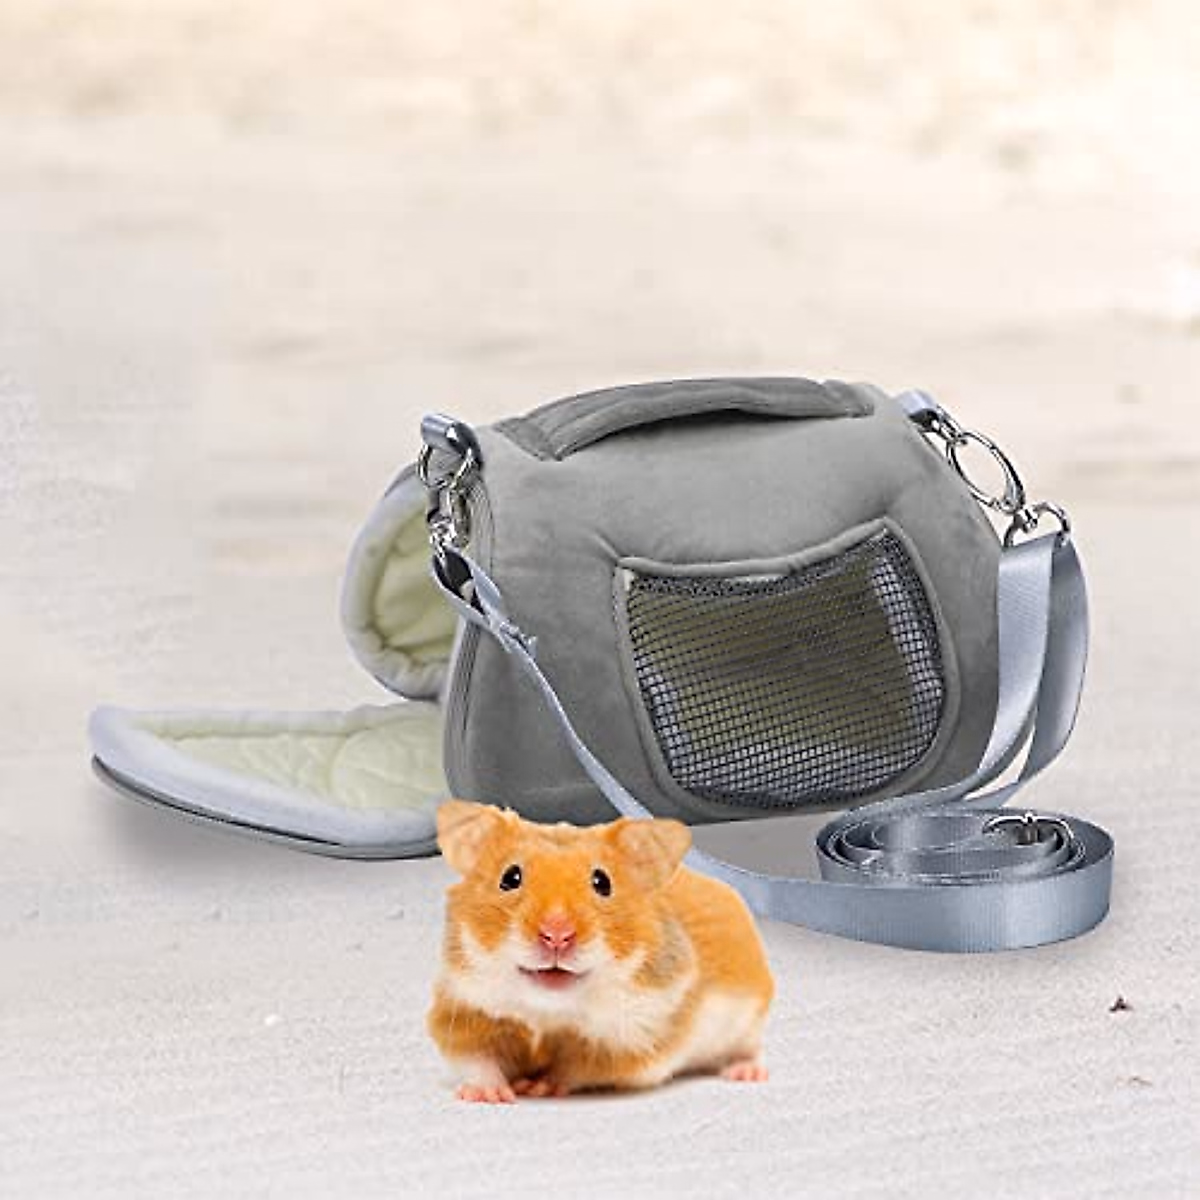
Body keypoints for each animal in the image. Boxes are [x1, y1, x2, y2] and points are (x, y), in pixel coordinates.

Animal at [428, 799, 775, 1102]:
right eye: (510, 878)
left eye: (602, 882)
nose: (557, 935)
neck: (549, 1010)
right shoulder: (465, 1015)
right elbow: (477, 1060)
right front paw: (488, 1095)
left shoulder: (631, 1044)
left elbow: (575, 1069)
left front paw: (537, 1086)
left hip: (749, 1017)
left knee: (749, 1049)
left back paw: (746, 1073)